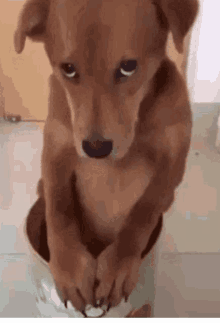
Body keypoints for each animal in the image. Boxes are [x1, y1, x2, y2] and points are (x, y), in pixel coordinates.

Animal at [14, 0, 199, 316]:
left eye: (128, 67)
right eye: (68, 69)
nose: (96, 148)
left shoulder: (173, 162)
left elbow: (143, 210)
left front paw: (118, 267)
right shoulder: (56, 147)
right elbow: (59, 207)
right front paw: (70, 267)